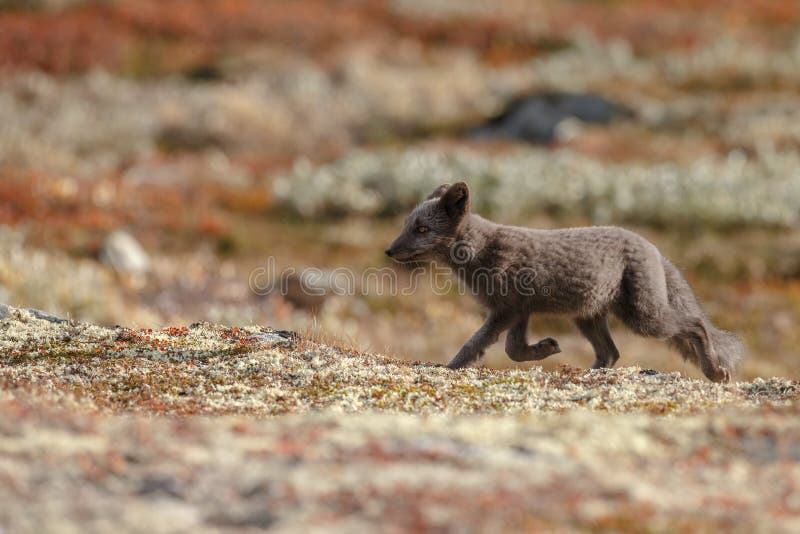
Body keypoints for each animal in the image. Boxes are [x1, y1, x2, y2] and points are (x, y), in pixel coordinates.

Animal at [385, 182, 744, 382]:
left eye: (421, 229)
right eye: (406, 225)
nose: (388, 250)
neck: (482, 250)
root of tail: (653, 248)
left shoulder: (506, 311)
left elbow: (474, 345)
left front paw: (449, 369)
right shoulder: (520, 311)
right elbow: (514, 350)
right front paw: (545, 348)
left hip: (644, 319)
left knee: (696, 324)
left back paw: (715, 372)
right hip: (587, 318)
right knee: (611, 353)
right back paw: (586, 376)